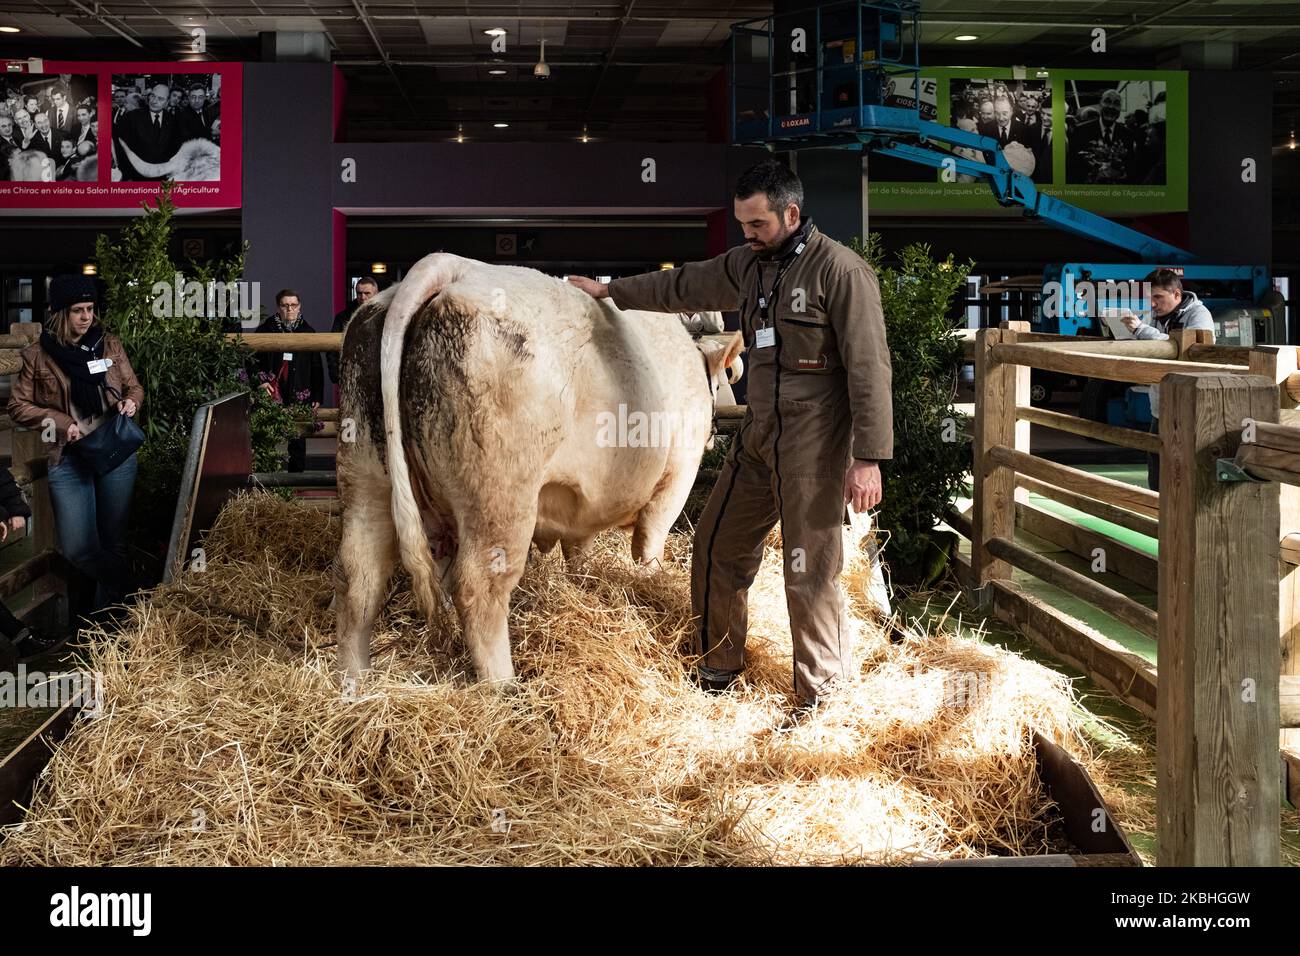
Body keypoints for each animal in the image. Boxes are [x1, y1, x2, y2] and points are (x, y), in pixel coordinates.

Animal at [333, 253, 744, 686]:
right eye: (726, 379)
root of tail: (454, 265)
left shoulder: (585, 505)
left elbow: (579, 552)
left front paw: (583, 584)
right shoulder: (676, 478)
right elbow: (648, 547)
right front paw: (651, 582)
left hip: (364, 474)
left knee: (358, 576)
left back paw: (353, 682)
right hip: (500, 496)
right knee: (479, 588)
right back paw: (502, 686)